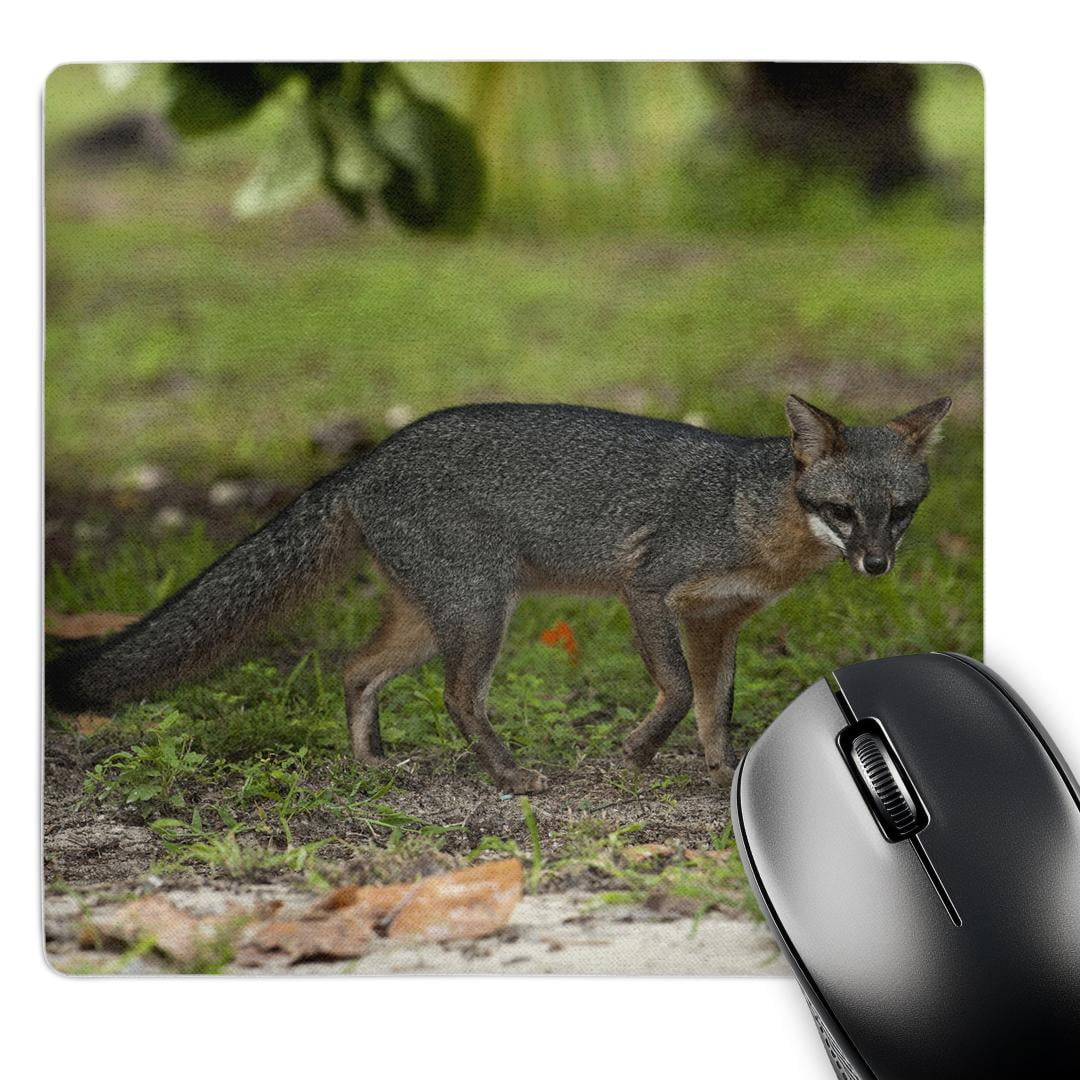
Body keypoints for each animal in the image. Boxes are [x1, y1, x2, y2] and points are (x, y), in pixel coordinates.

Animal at [46, 395, 951, 794]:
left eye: (900, 513)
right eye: (844, 511)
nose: (876, 566)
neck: (755, 513)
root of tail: (364, 459)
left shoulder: (716, 618)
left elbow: (713, 704)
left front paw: (720, 768)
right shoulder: (649, 585)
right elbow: (676, 690)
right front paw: (636, 753)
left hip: (433, 616)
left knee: (354, 669)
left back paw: (371, 763)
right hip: (481, 611)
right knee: (456, 694)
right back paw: (509, 774)